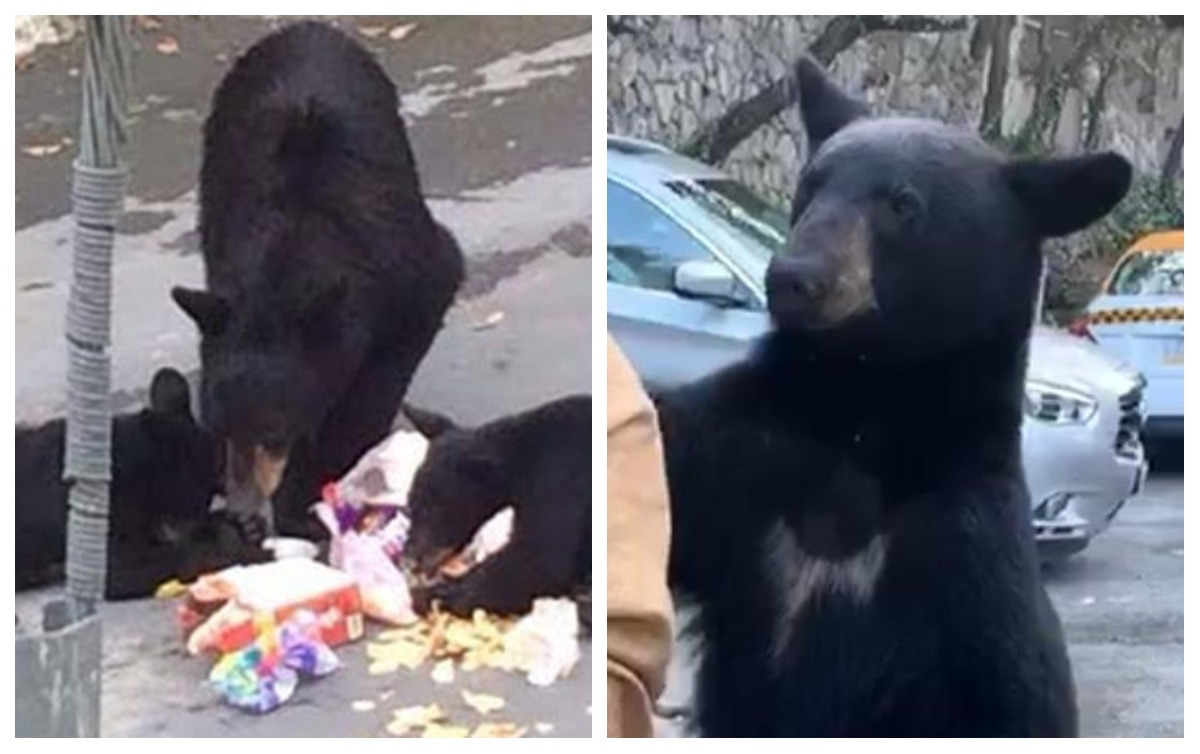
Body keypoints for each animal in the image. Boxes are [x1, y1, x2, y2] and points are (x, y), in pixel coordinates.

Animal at [171, 21, 464, 539]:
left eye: (272, 432)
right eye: (217, 428)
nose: (242, 512)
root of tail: (304, 27)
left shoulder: (405, 276)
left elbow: (378, 377)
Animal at [400, 396, 592, 623]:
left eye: (434, 511)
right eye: (410, 506)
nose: (409, 560)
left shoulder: (562, 480)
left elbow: (538, 559)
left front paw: (430, 595)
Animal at [653, 58, 1132, 737]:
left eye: (903, 204)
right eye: (811, 184)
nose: (794, 277)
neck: (868, 412)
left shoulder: (969, 564)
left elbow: (1013, 699)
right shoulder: (741, 469)